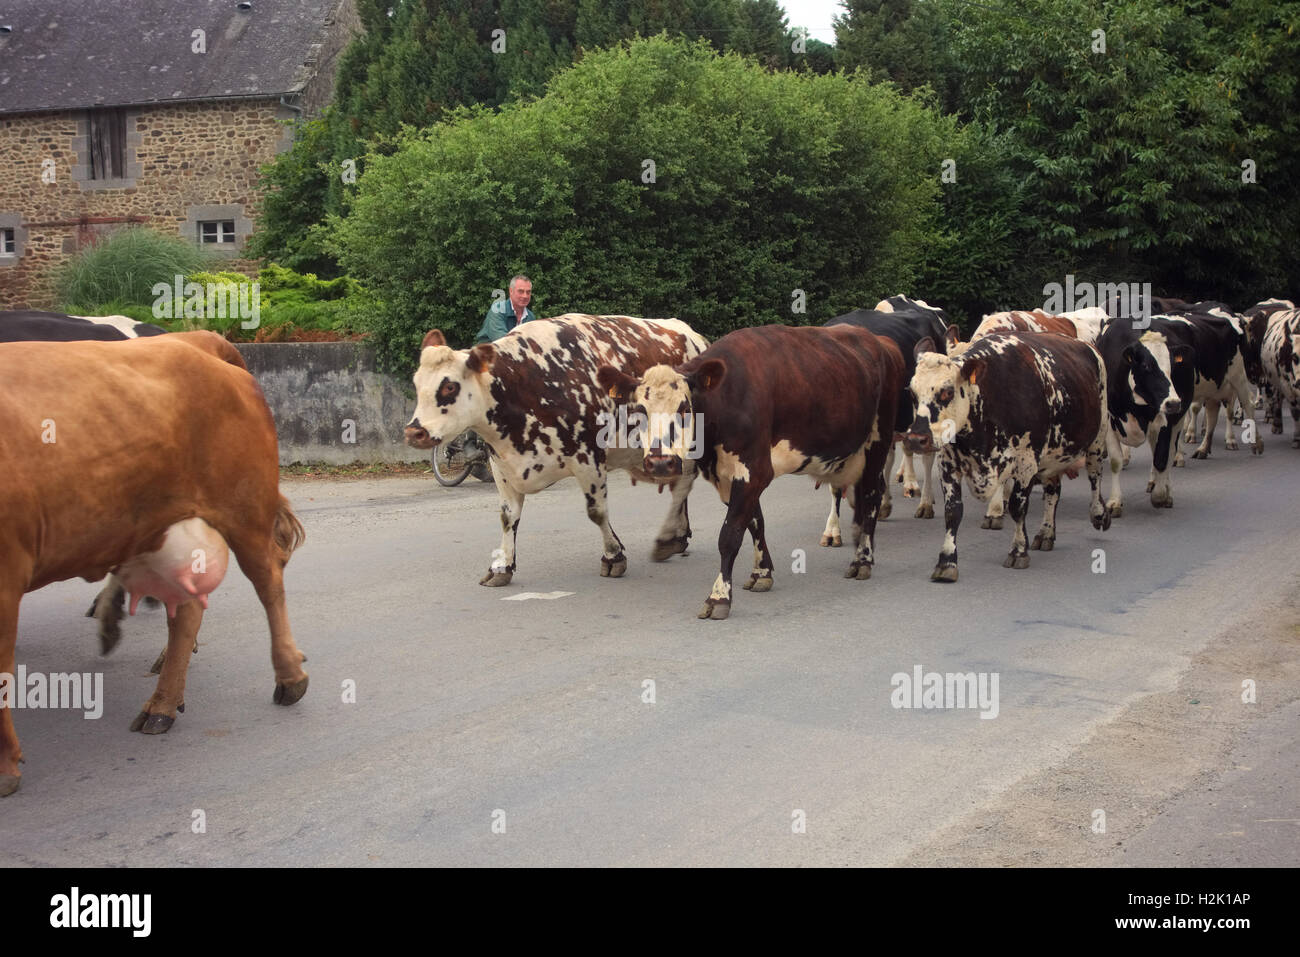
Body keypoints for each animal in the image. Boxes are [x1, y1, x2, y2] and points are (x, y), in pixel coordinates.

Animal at [0, 331, 309, 797]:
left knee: (268, 580)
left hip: (244, 508)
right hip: (155, 527)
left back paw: (289, 677)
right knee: (188, 605)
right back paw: (162, 701)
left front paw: (4, 767)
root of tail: (192, 339)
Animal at [402, 315, 709, 586]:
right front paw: (502, 567)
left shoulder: (589, 458)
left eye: (449, 386)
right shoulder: (502, 465)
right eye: (416, 383)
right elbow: (508, 516)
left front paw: (613, 557)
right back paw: (679, 536)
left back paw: (669, 537)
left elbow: (597, 512)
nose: (413, 432)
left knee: (683, 484)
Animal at [597, 324, 904, 620]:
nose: (661, 463)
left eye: (684, 408)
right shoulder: (726, 476)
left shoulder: (754, 470)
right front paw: (762, 572)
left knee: (873, 497)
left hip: (878, 442)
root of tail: (879, 340)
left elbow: (730, 534)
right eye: (640, 410)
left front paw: (719, 597)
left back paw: (862, 559)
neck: (725, 399)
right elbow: (755, 522)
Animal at [904, 332, 1110, 581]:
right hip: (1053, 457)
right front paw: (947, 562)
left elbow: (1017, 507)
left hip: (1097, 439)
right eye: (912, 393)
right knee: (1053, 493)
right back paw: (1046, 532)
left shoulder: (1026, 464)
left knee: (1095, 477)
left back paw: (1099, 514)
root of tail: (1088, 346)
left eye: (947, 391)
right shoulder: (948, 464)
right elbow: (952, 511)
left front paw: (1018, 551)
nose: (916, 439)